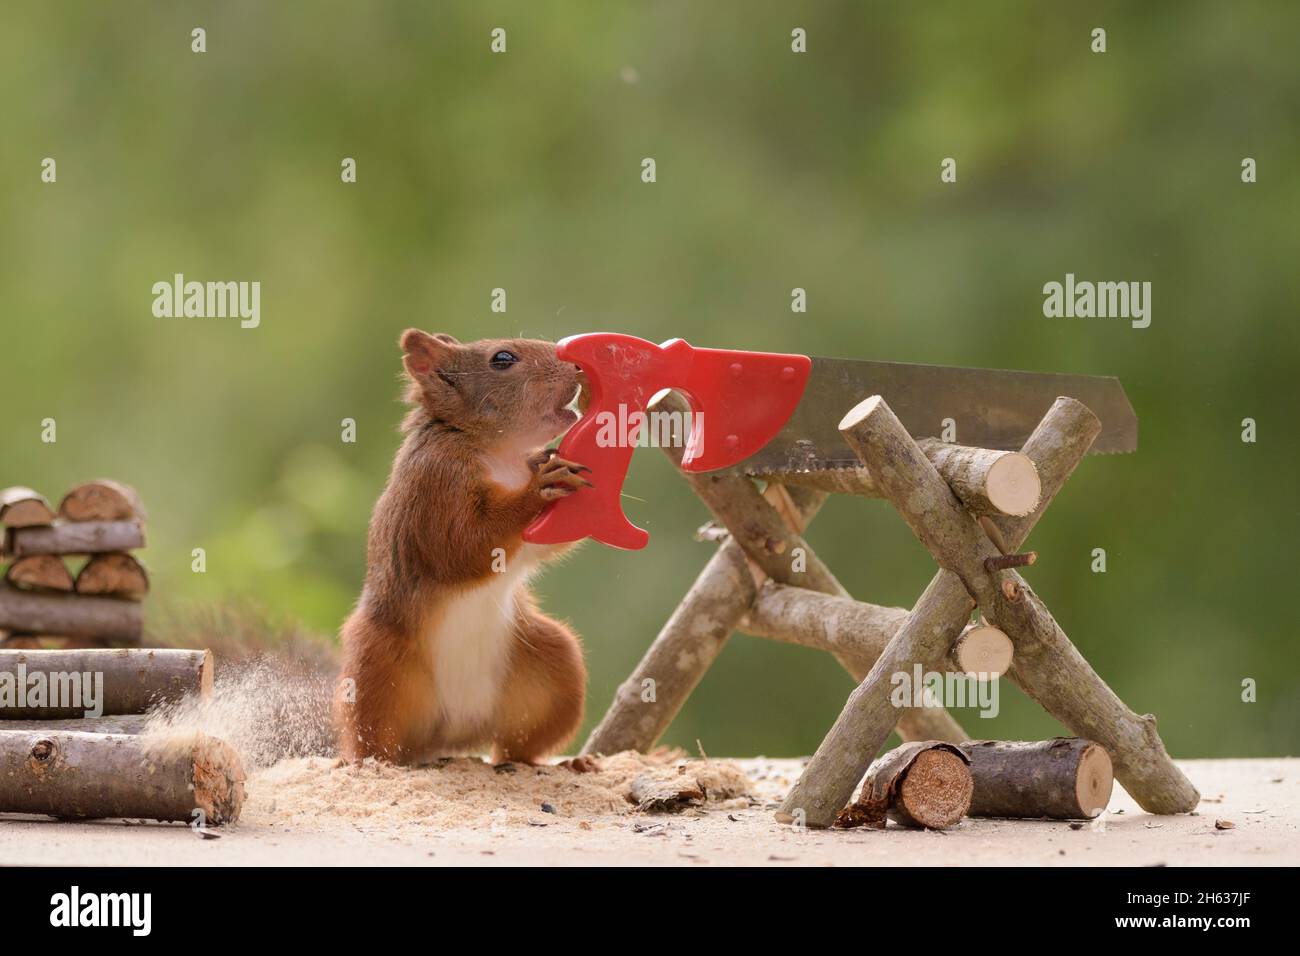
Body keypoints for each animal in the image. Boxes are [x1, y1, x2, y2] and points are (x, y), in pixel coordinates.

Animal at [336, 330, 592, 766]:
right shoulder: (435, 482)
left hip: (552, 664)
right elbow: (462, 545)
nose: (576, 365)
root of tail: (452, 732)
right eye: (502, 359)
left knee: (514, 745)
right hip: (375, 665)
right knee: (376, 741)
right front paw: (539, 487)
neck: (498, 454)